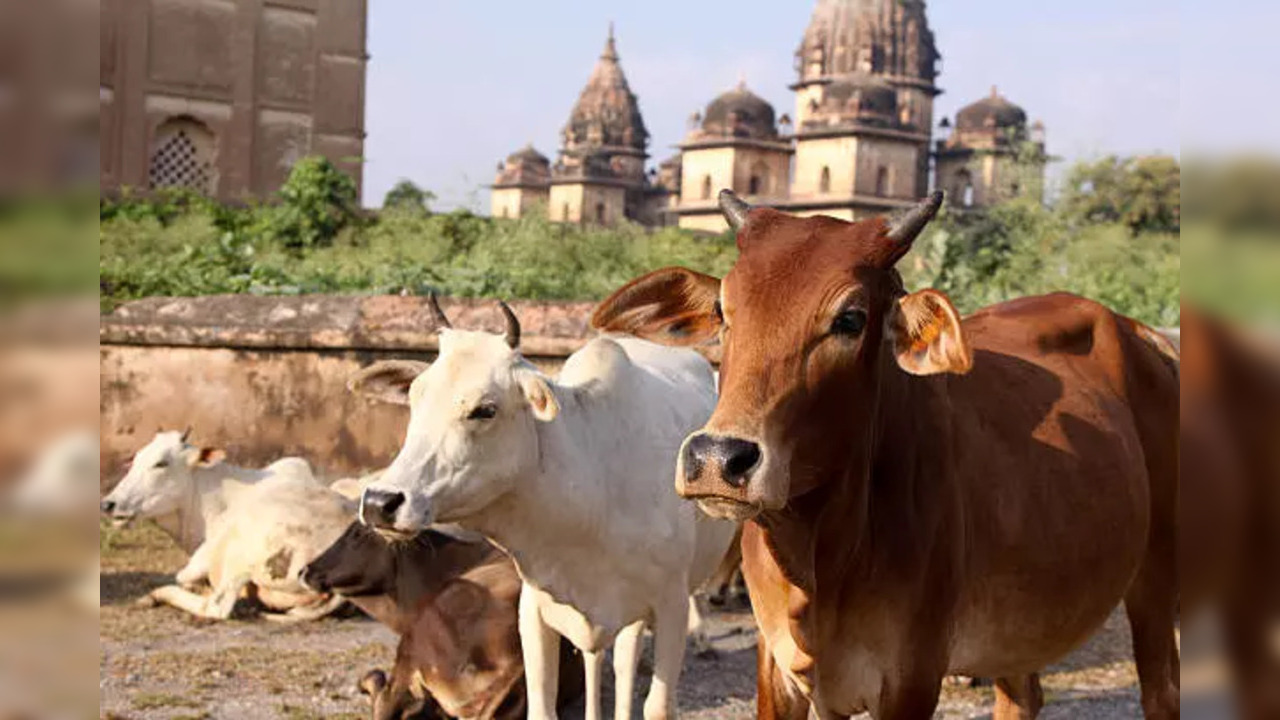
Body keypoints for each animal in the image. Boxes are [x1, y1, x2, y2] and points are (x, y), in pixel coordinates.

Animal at [101, 430, 352, 620]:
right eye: (135, 460)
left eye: (161, 463)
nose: (108, 503)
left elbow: (184, 576)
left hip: (241, 554)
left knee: (215, 607)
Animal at [351, 297, 738, 720]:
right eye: (415, 397)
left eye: (485, 409)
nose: (380, 502)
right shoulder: (534, 608)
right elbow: (543, 701)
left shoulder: (670, 607)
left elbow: (657, 705)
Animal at [590, 190, 1181, 719]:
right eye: (723, 310)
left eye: (850, 319)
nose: (718, 459)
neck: (823, 556)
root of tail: (1148, 337)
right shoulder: (779, 667)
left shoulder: (911, 677)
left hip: (1154, 581)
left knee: (1161, 691)